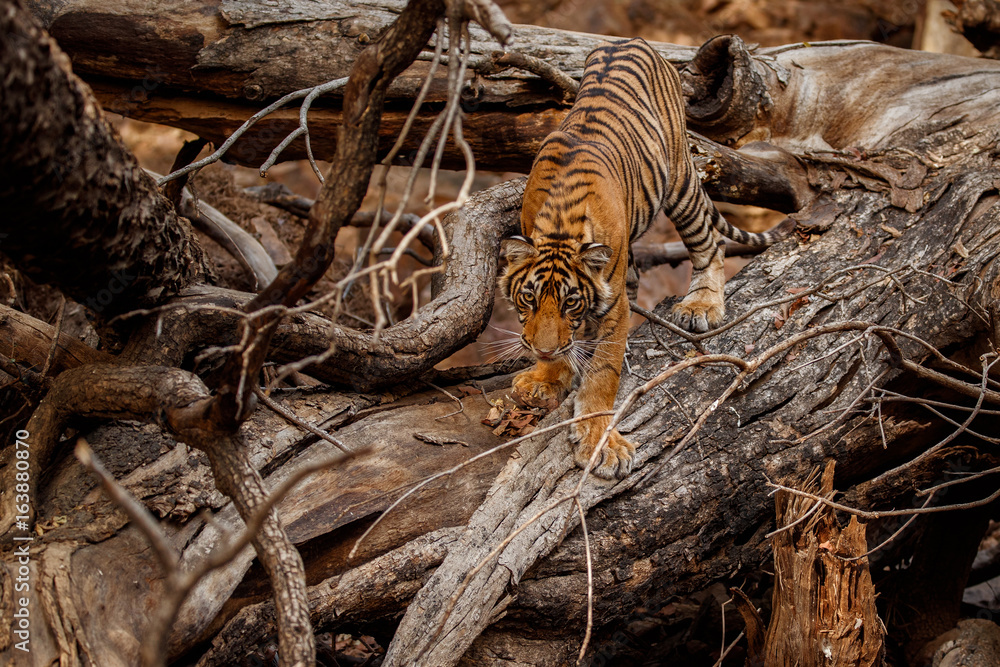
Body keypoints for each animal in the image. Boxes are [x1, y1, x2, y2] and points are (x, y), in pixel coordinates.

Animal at [500, 38, 793, 480]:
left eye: (571, 302)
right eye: (528, 299)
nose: (546, 353)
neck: (560, 229)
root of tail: (632, 41)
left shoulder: (613, 305)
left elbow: (604, 372)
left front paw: (601, 443)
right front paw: (547, 376)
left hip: (680, 182)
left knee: (710, 244)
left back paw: (702, 305)